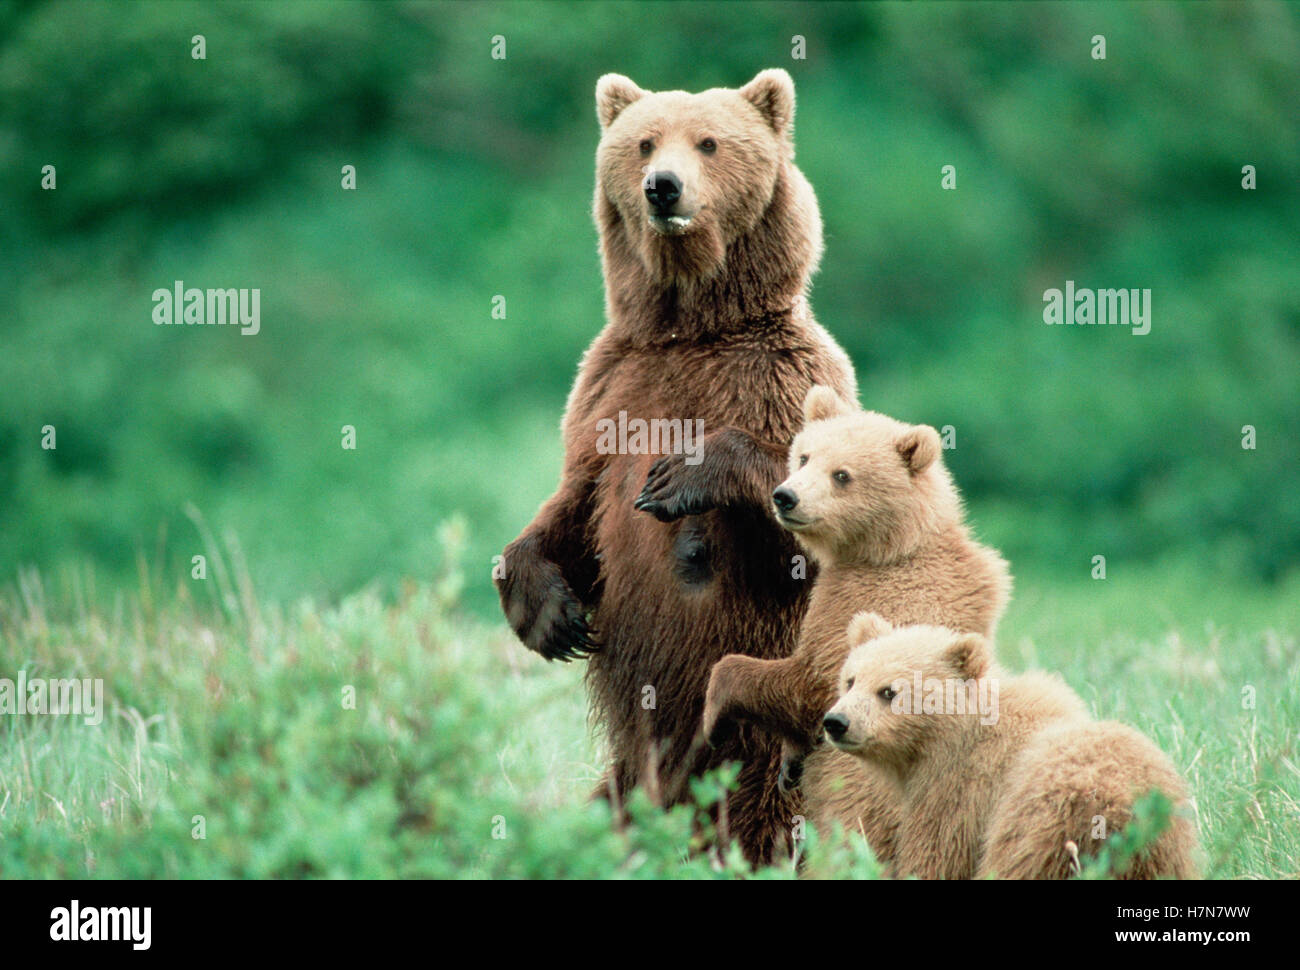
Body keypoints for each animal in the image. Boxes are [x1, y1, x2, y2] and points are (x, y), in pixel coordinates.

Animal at [495, 69, 857, 865]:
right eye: (643, 142)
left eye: (710, 142)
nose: (663, 187)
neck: (688, 326)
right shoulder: (606, 392)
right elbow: (573, 509)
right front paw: (550, 613)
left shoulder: (783, 378)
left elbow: (812, 538)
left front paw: (682, 475)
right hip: (635, 767)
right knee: (611, 805)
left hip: (761, 725)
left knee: (774, 803)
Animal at [701, 385, 1011, 862]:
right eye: (804, 456)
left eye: (842, 474)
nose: (784, 497)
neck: (888, 548)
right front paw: (790, 763)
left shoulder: (862, 598)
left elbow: (810, 684)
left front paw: (715, 714)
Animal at [825, 614, 1200, 879]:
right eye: (851, 679)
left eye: (889, 691)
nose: (836, 722)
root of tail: (1123, 810)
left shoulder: (959, 792)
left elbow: (937, 855)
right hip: (1165, 848)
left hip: (1039, 823)